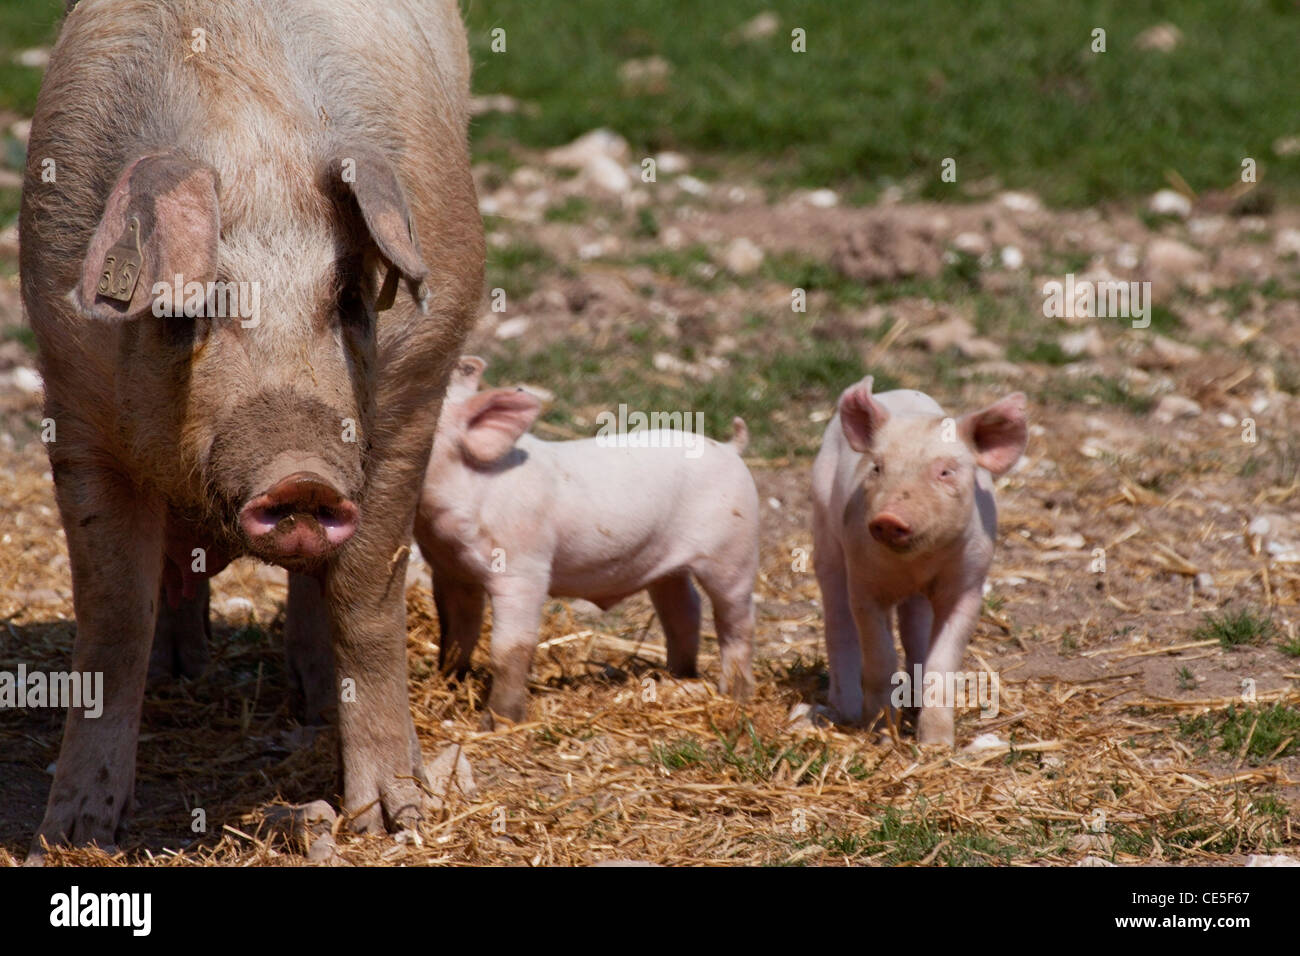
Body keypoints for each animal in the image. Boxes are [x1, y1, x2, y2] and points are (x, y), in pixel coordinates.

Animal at [20, 0, 484, 854]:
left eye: (351, 298)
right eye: (186, 312)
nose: (300, 473)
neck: (249, 128)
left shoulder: (415, 394)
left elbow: (366, 598)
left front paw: (394, 819)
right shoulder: (72, 400)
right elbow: (113, 615)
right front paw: (71, 833)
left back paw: (311, 702)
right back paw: (180, 672)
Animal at [413, 358, 759, 724]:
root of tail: (730, 448)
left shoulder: (525, 570)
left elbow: (509, 649)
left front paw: (498, 723)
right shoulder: (450, 571)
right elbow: (454, 633)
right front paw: (448, 685)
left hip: (734, 551)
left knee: (736, 619)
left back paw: (735, 695)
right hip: (669, 569)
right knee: (685, 610)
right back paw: (676, 678)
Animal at [810, 375, 1027, 745]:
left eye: (945, 472)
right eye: (877, 467)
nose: (888, 518)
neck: (916, 562)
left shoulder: (969, 584)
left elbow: (942, 665)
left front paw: (936, 745)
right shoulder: (864, 584)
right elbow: (880, 659)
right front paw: (882, 736)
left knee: (914, 627)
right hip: (825, 532)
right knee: (837, 619)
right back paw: (846, 710)